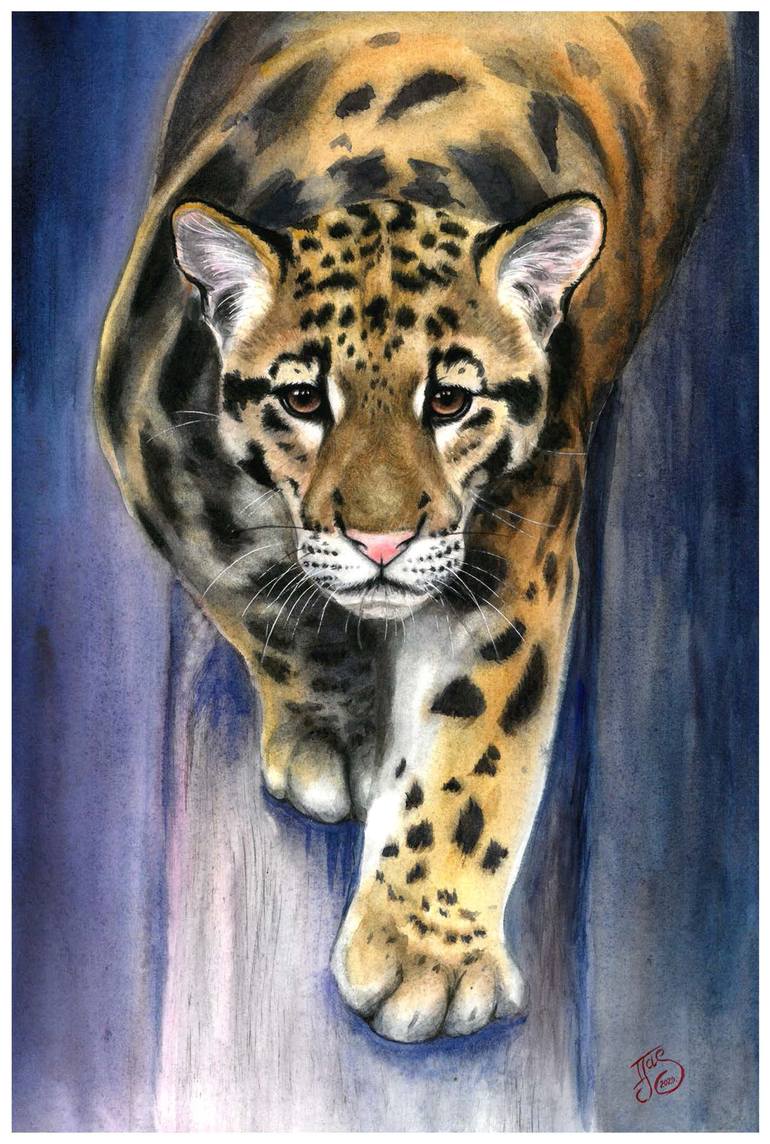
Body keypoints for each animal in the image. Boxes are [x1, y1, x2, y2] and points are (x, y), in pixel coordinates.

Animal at [94, 12, 731, 1043]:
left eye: (451, 401)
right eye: (302, 399)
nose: (383, 541)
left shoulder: (513, 552)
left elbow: (475, 745)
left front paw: (427, 952)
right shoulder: (157, 461)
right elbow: (269, 614)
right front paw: (330, 730)